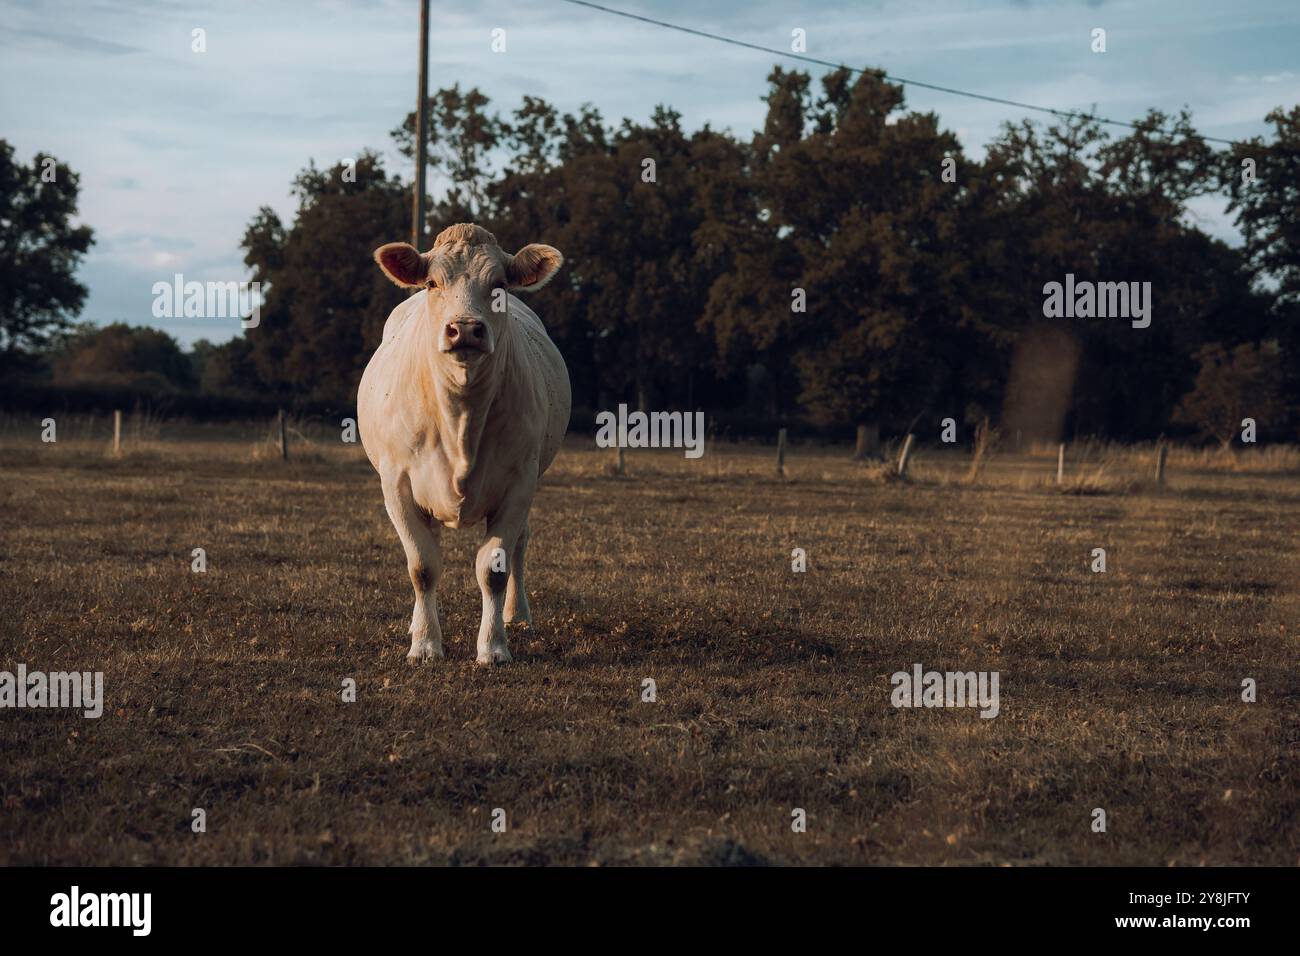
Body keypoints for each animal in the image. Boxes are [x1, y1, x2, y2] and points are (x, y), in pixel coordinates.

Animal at [358, 223, 571, 664]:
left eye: (500, 284)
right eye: (432, 282)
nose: (466, 328)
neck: (462, 421)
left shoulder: (519, 483)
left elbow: (494, 569)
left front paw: (493, 646)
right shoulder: (397, 483)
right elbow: (422, 566)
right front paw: (424, 643)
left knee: (520, 545)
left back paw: (517, 616)